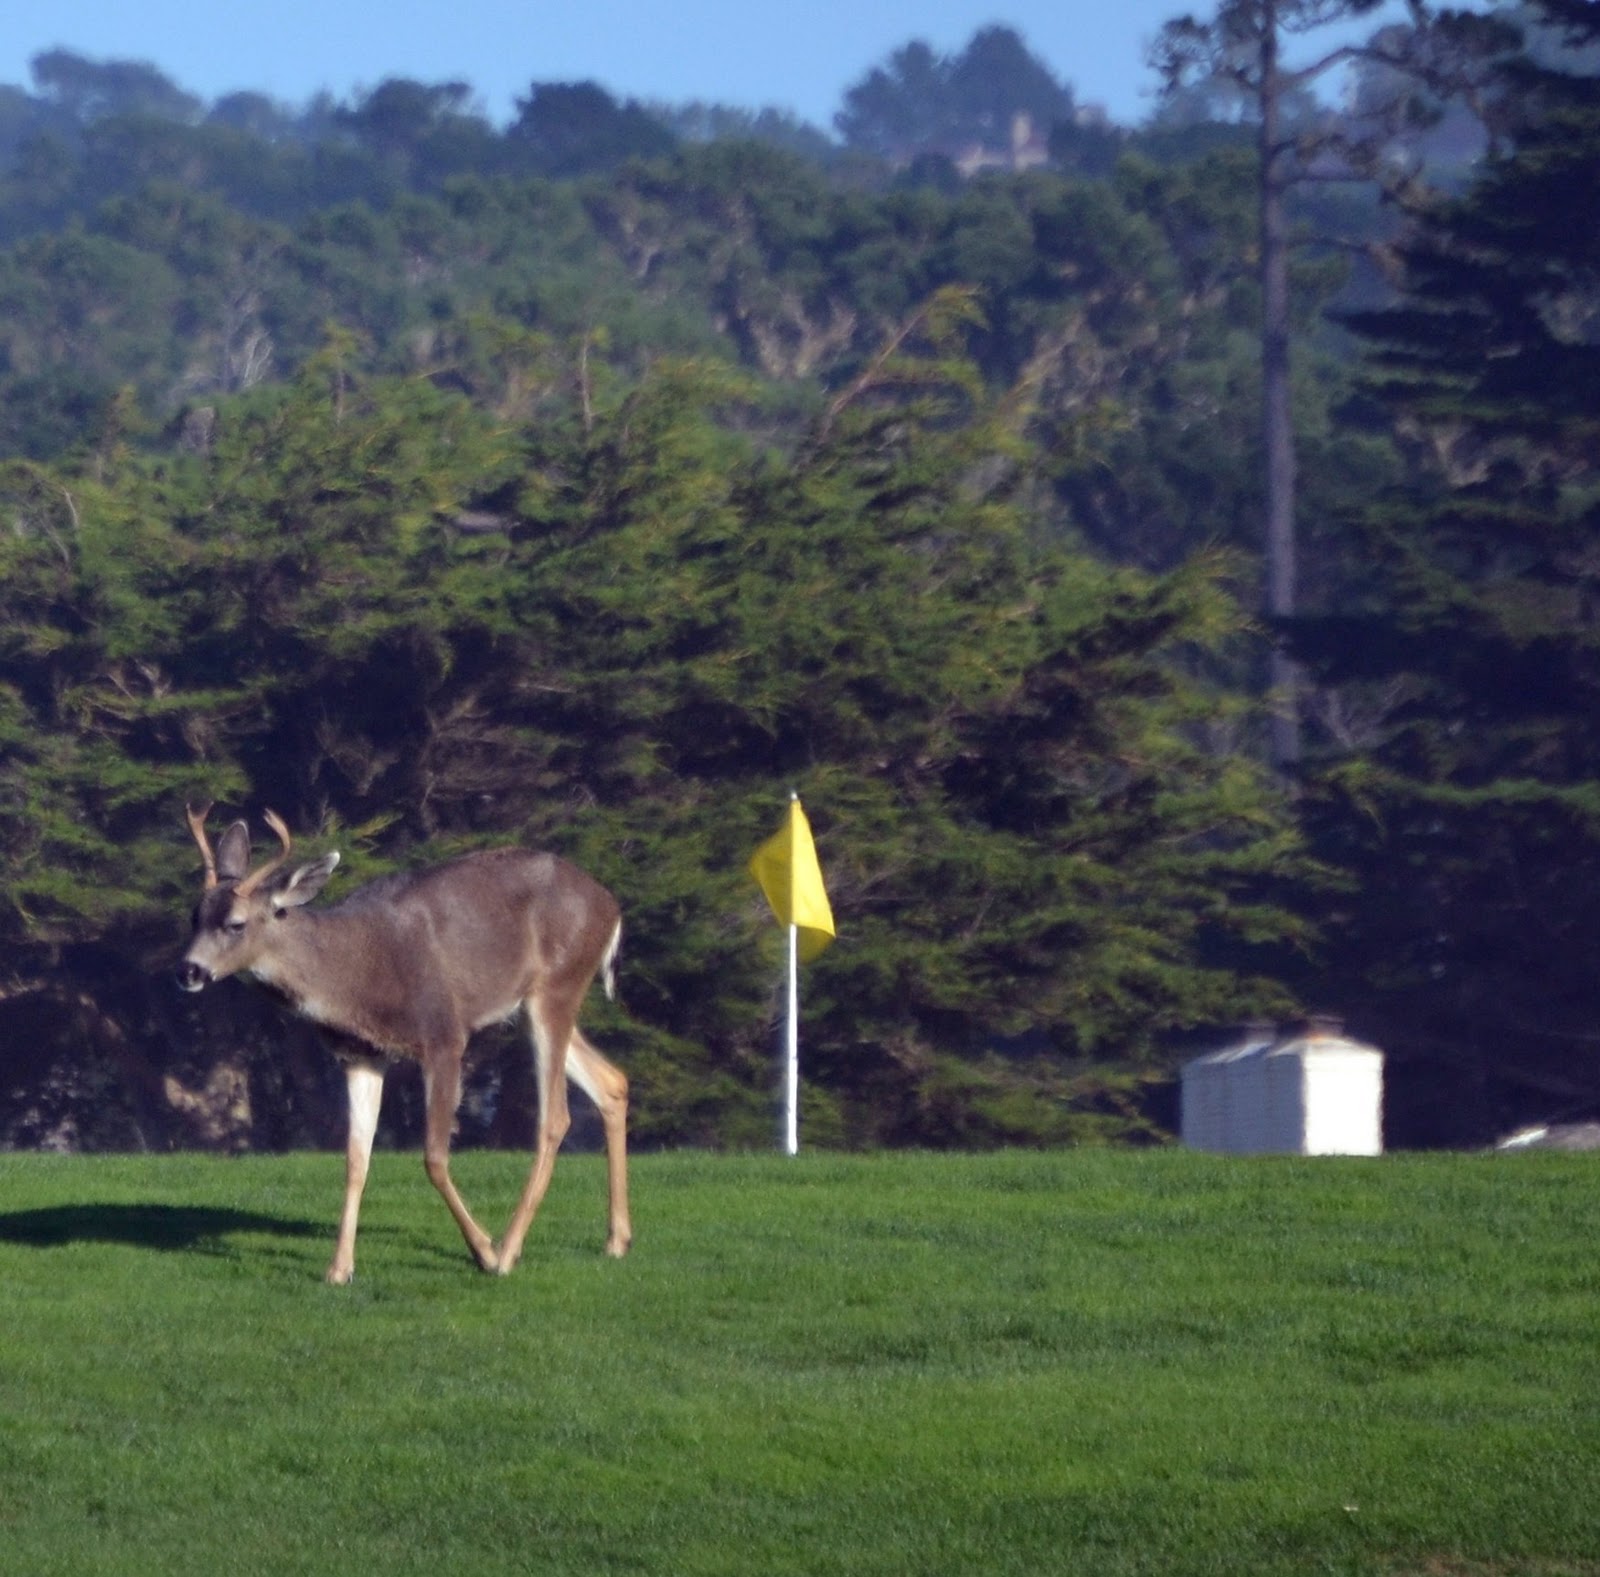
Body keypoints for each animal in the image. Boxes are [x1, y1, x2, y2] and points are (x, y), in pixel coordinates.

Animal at [176, 804, 630, 1284]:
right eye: (194, 916)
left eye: (235, 924)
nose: (188, 971)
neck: (353, 975)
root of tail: (611, 907)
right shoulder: (361, 1055)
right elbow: (356, 1161)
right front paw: (339, 1268)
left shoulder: (444, 1035)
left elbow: (434, 1157)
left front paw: (483, 1250)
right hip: (528, 1005)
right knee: (612, 1082)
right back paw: (617, 1240)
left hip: (558, 984)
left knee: (555, 1117)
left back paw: (508, 1252)